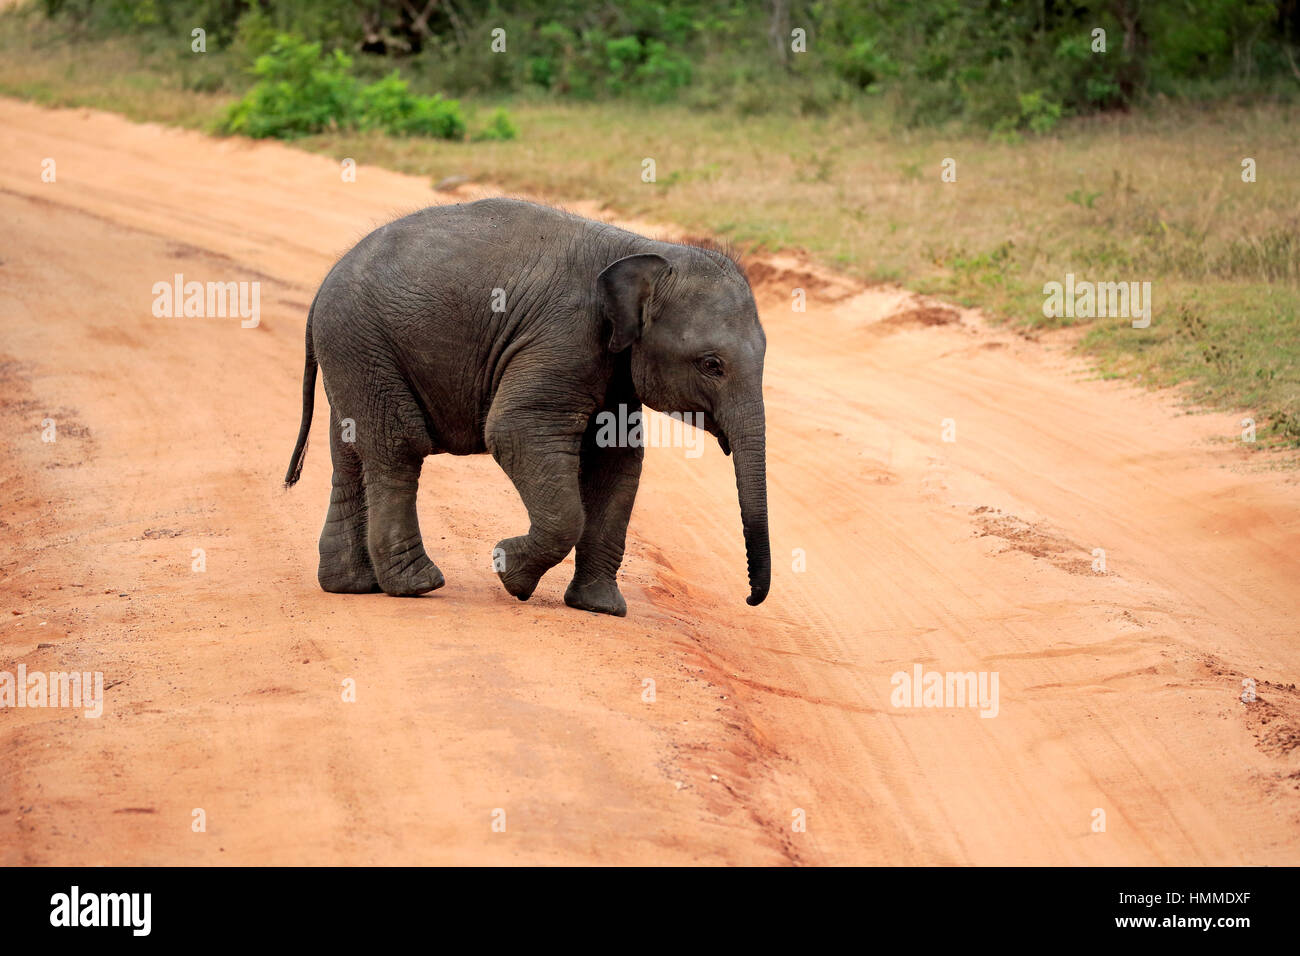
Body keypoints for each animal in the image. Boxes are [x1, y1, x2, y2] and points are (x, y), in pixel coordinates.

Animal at [284, 197, 769, 616]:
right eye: (711, 365)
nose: (749, 600)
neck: (643, 248)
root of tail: (323, 285)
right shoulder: (564, 334)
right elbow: (514, 430)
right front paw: (508, 572)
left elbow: (616, 461)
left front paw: (600, 609)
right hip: (363, 345)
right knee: (397, 446)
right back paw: (418, 585)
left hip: (353, 353)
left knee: (349, 453)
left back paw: (350, 586)